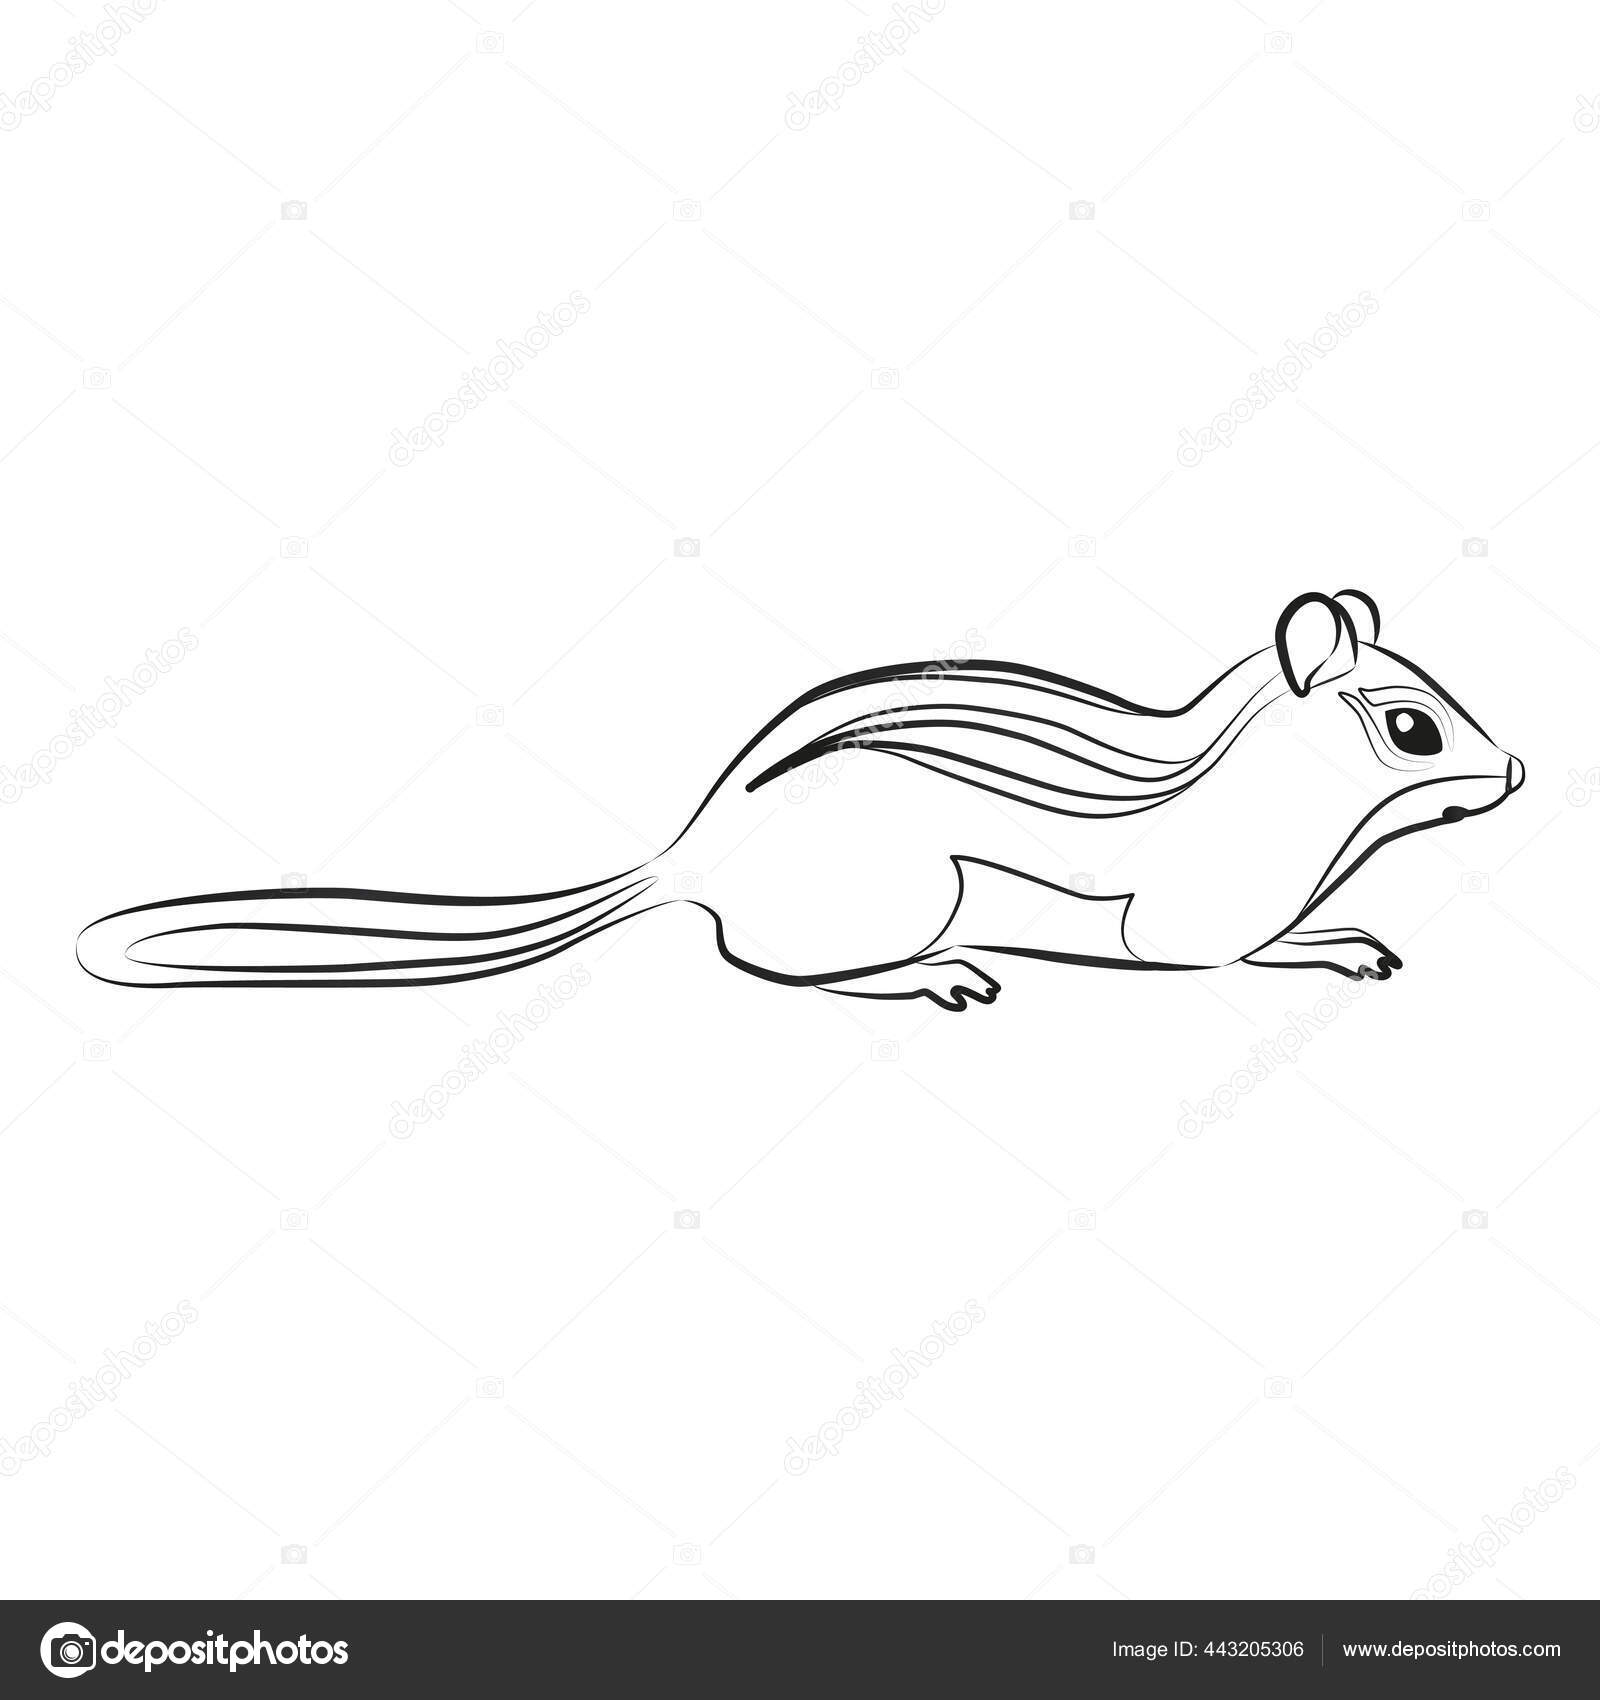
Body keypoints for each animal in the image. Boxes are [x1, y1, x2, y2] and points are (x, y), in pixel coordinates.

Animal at [78, 589, 1523, 1010]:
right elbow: (1229, 948)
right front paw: (1337, 942)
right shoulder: (1190, 919)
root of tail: (692, 867)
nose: (1513, 772)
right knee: (778, 972)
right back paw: (936, 978)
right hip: (901, 900)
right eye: (1410, 727)